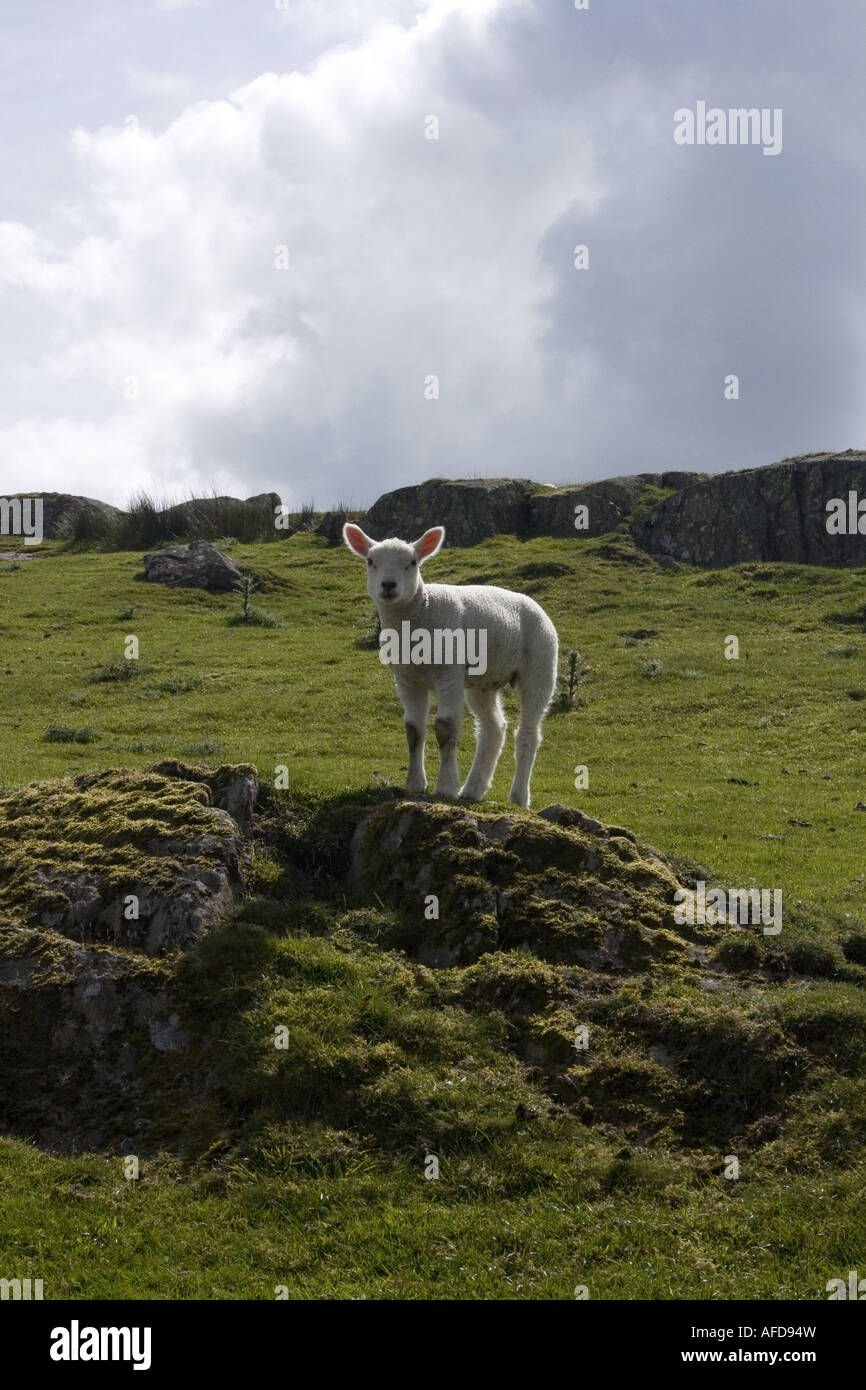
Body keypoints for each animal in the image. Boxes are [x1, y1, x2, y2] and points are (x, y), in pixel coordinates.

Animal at [343, 522, 559, 808]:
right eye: (370, 561)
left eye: (413, 562)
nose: (388, 585)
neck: (421, 612)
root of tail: (532, 602)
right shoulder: (406, 678)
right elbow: (413, 729)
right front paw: (414, 784)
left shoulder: (449, 672)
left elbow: (444, 727)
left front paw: (445, 787)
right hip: (483, 681)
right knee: (493, 728)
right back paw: (473, 789)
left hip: (540, 664)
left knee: (528, 732)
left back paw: (518, 797)